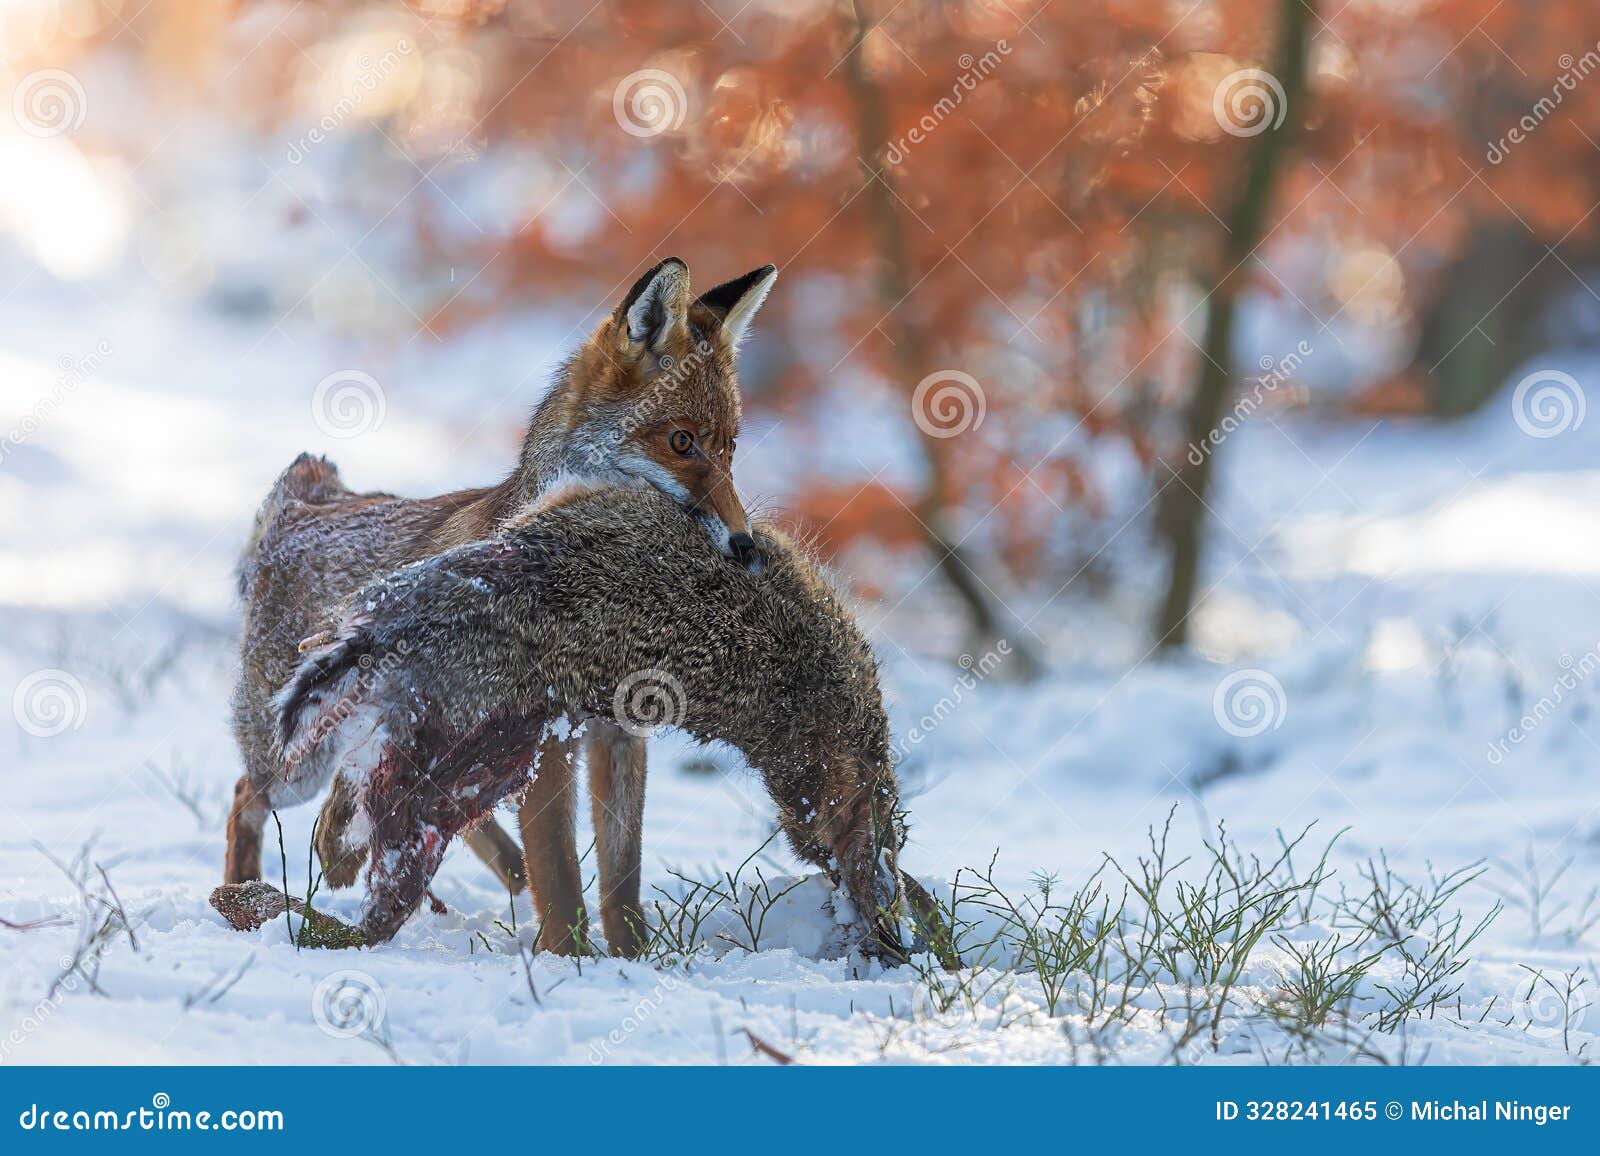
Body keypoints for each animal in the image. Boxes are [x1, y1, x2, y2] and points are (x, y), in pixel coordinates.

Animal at [223, 257, 779, 957]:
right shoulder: (543, 738)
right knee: (245, 798)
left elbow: (621, 875)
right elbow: (560, 871)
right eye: (681, 442)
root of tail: (309, 499)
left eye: (730, 448)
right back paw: (241, 892)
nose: (745, 547)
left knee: (420, 811)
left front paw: (633, 962)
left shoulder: (618, 733)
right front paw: (571, 959)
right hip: (294, 765)